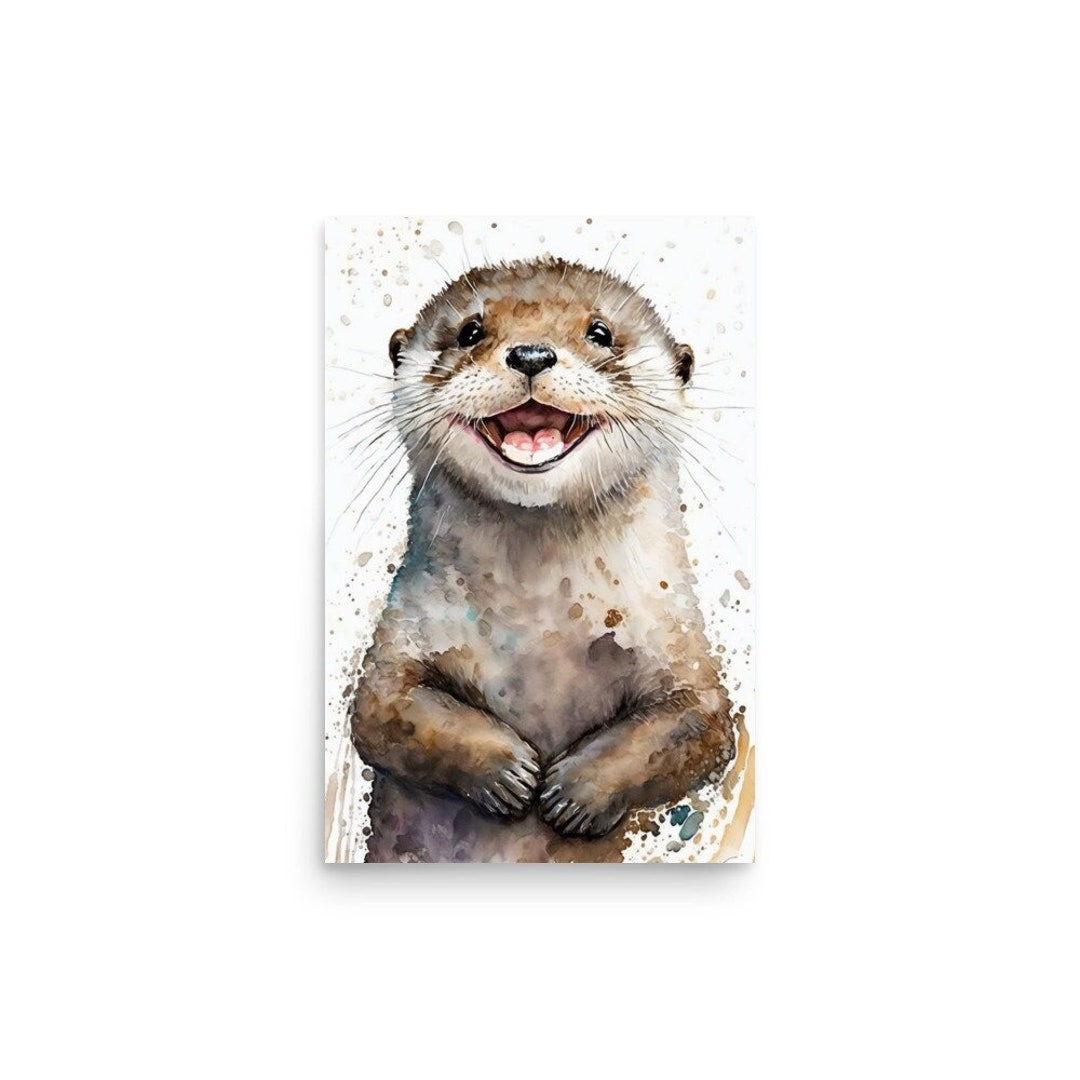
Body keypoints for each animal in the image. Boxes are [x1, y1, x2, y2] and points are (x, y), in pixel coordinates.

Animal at [348, 256, 735, 862]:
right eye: (470, 331)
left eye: (600, 332)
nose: (531, 354)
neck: (539, 622)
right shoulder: (400, 636)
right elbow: (384, 713)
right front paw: (506, 770)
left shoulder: (682, 648)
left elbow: (698, 724)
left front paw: (575, 791)